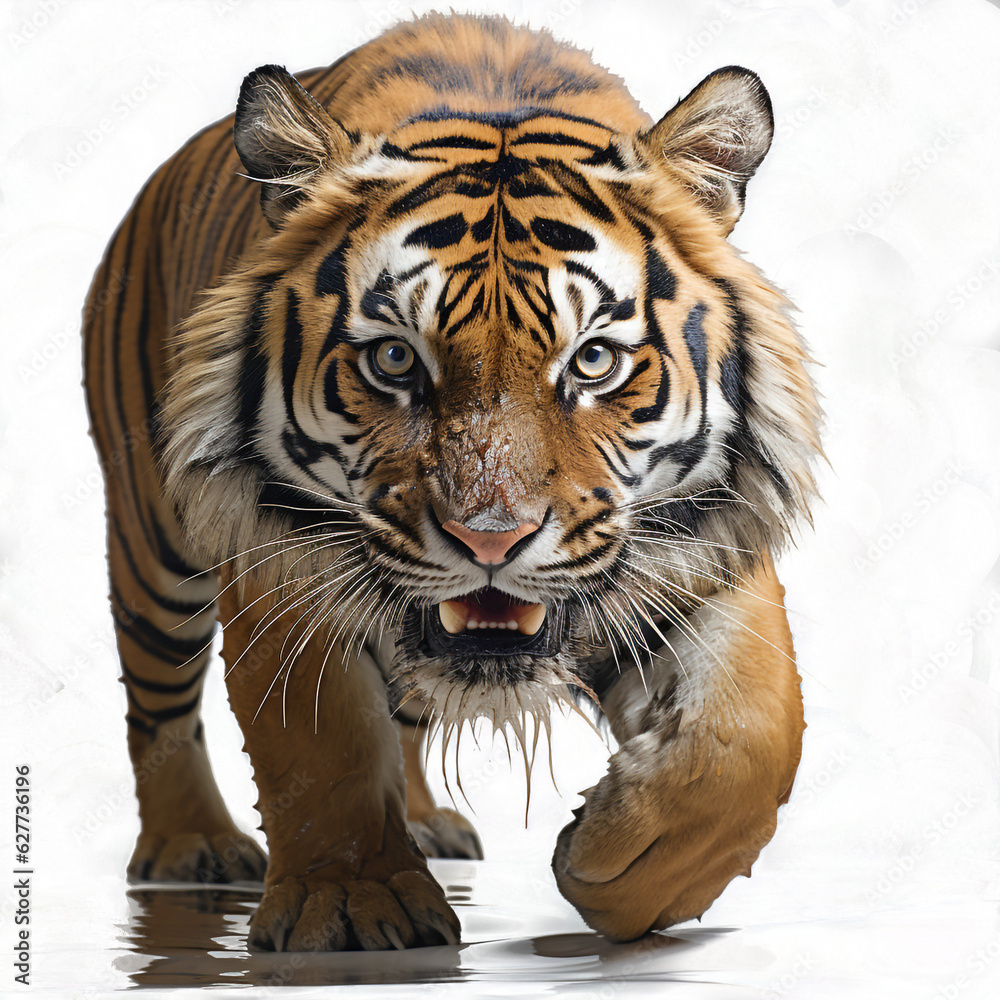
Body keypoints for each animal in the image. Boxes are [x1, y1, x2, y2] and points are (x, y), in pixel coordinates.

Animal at [83, 12, 820, 951]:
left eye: (593, 360)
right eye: (396, 359)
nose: (489, 539)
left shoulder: (705, 544)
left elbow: (747, 735)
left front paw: (611, 864)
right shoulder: (275, 555)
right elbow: (318, 748)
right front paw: (352, 905)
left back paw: (428, 823)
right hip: (152, 544)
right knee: (158, 702)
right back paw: (192, 848)